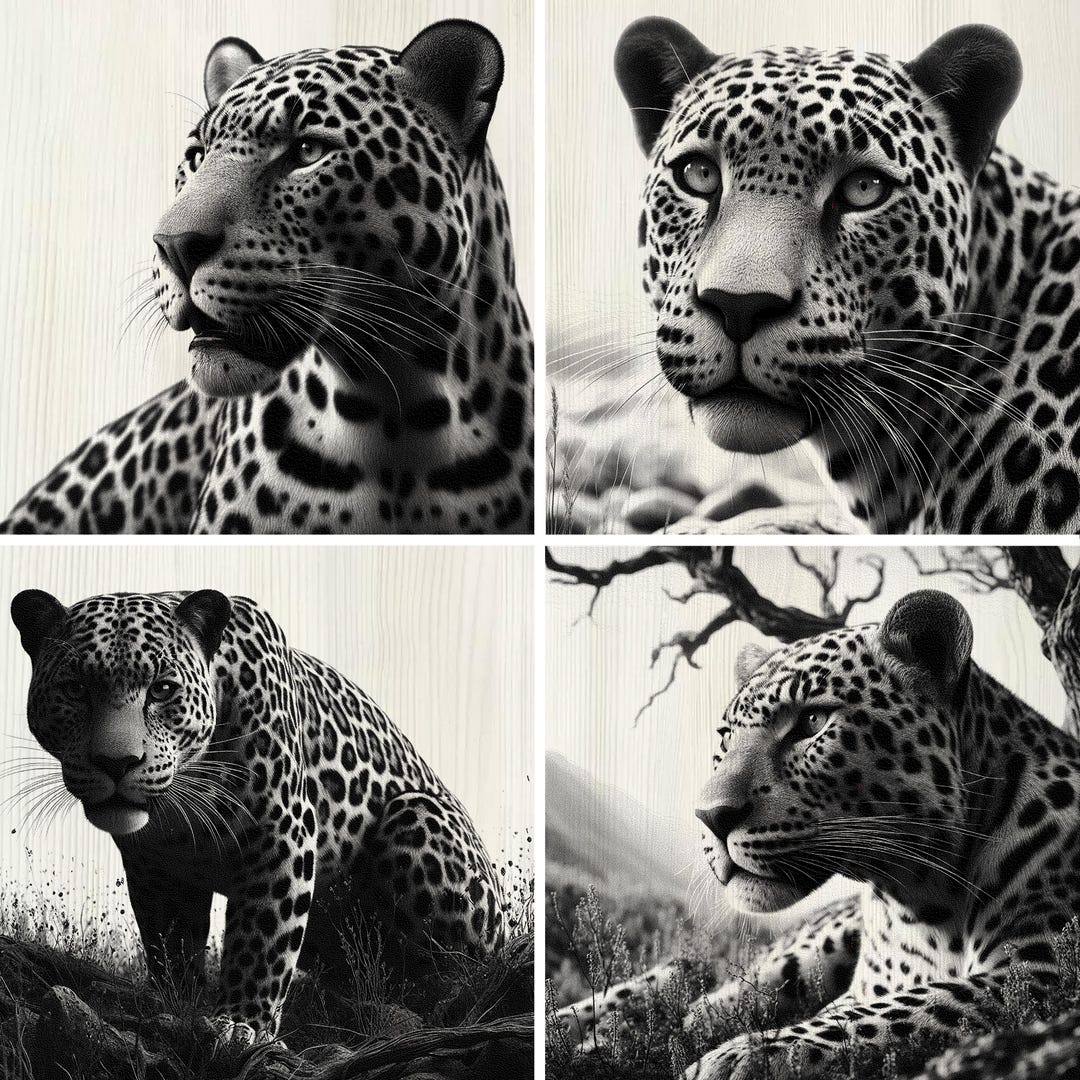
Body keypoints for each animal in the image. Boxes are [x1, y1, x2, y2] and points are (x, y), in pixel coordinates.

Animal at [10, 587, 505, 1044]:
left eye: (162, 689)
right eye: (75, 689)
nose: (117, 763)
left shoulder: (282, 833)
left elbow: (262, 939)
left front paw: (241, 1025)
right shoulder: (158, 867)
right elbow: (168, 941)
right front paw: (176, 1002)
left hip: (415, 817)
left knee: (464, 966)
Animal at [556, 589, 1080, 1079]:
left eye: (812, 722)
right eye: (726, 738)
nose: (708, 816)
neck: (922, 902)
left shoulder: (1038, 970)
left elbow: (906, 1008)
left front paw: (742, 1055)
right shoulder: (868, 985)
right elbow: (859, 1012)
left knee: (697, 1006)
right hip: (796, 952)